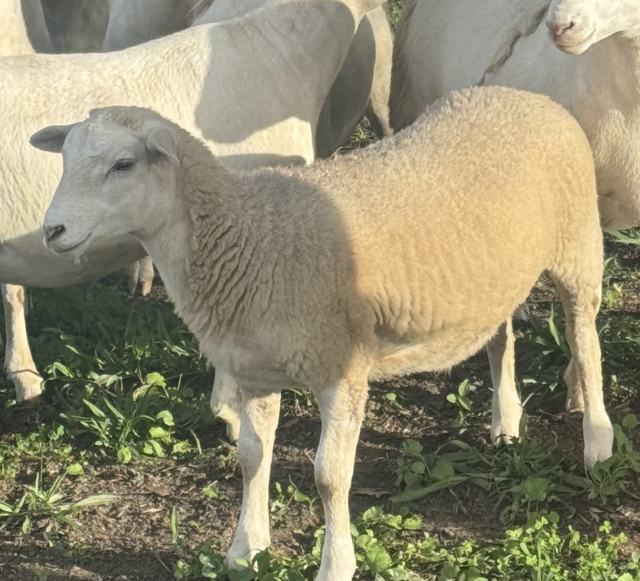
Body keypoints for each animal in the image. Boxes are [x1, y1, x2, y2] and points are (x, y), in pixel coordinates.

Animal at [35, 88, 613, 579]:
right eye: (64, 159)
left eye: (123, 164)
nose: (51, 231)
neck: (248, 238)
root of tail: (522, 94)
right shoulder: (255, 369)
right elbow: (251, 457)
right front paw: (246, 550)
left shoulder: (341, 367)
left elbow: (329, 476)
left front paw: (336, 564)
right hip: (494, 276)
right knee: (500, 336)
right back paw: (505, 421)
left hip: (578, 244)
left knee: (585, 337)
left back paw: (598, 441)